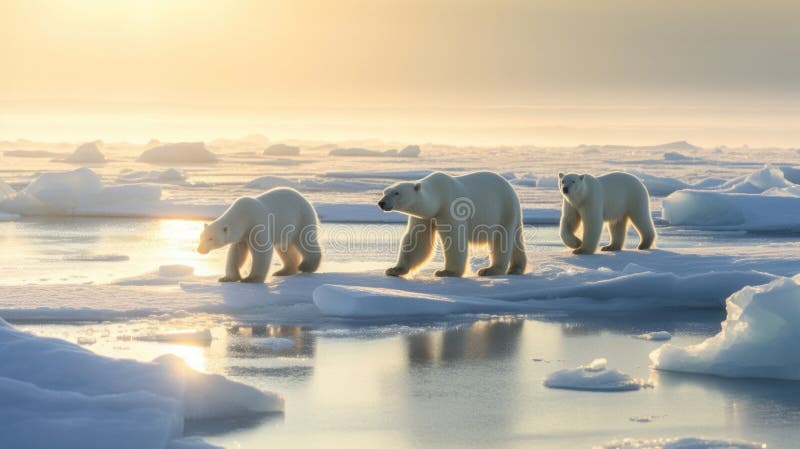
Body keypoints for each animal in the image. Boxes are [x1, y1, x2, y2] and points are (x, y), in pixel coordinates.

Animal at [378, 171, 527, 277]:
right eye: (385, 192)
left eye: (396, 193)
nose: (381, 203)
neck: (439, 195)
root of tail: (511, 188)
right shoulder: (425, 217)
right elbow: (417, 240)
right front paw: (394, 269)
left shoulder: (450, 208)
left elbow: (454, 238)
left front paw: (446, 272)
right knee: (516, 241)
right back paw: (516, 268)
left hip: (504, 209)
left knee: (501, 240)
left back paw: (490, 270)